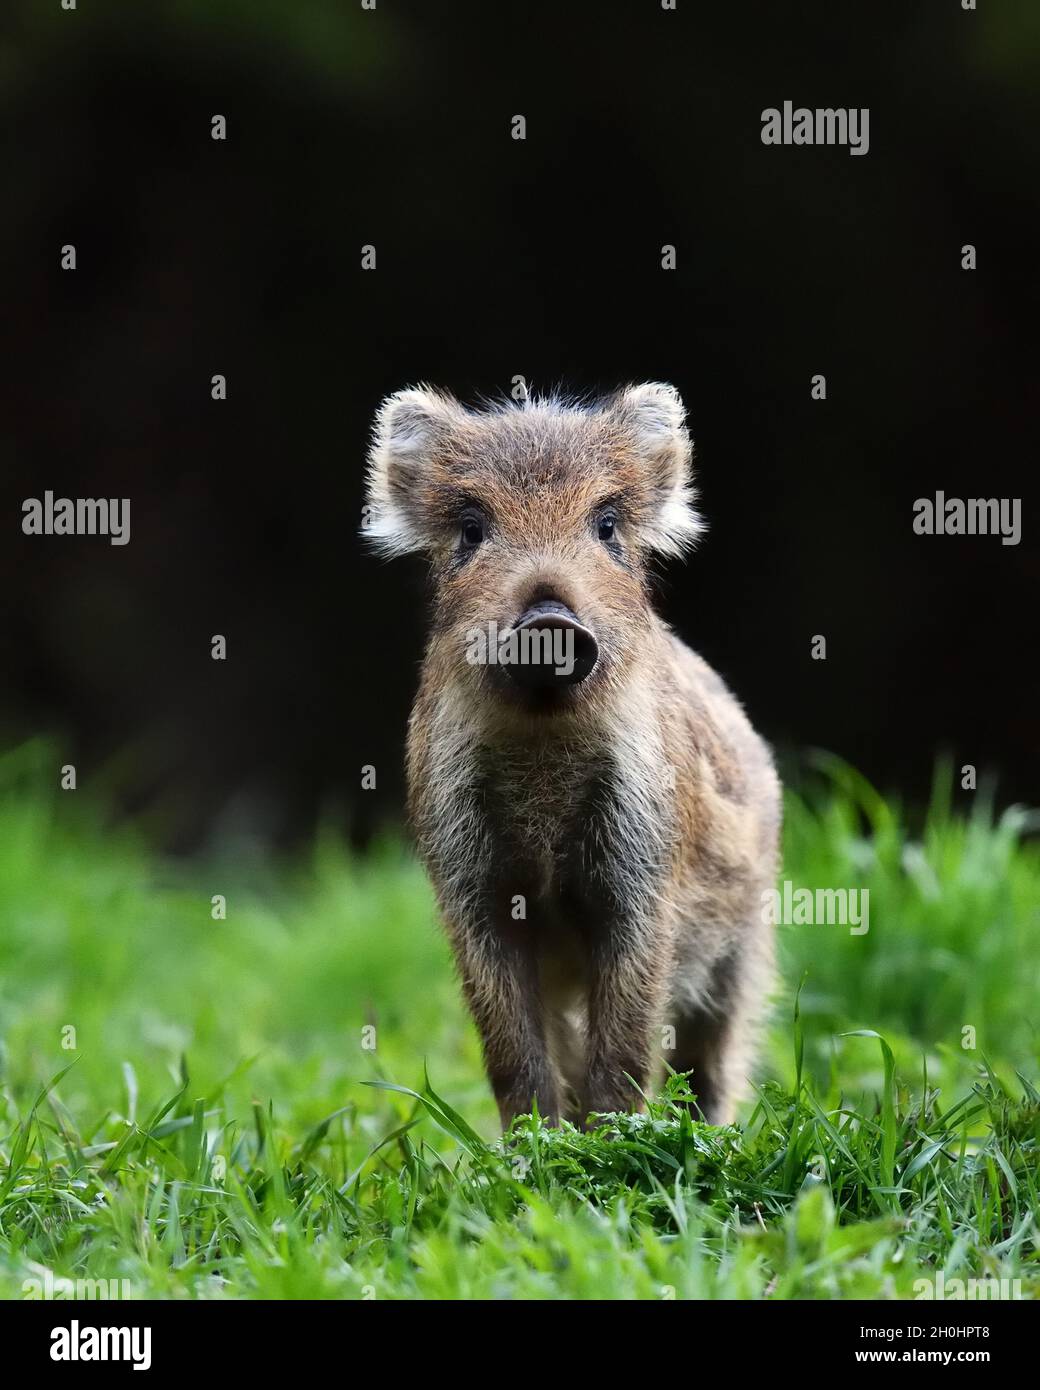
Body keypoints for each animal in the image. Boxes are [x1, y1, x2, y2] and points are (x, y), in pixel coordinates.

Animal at [364, 383, 781, 1129]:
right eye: (471, 529)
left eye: (607, 525)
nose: (549, 616)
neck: (543, 751)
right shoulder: (469, 886)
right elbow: (511, 1048)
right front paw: (535, 1144)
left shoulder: (644, 876)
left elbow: (628, 1037)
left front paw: (613, 1139)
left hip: (744, 950)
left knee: (712, 1057)